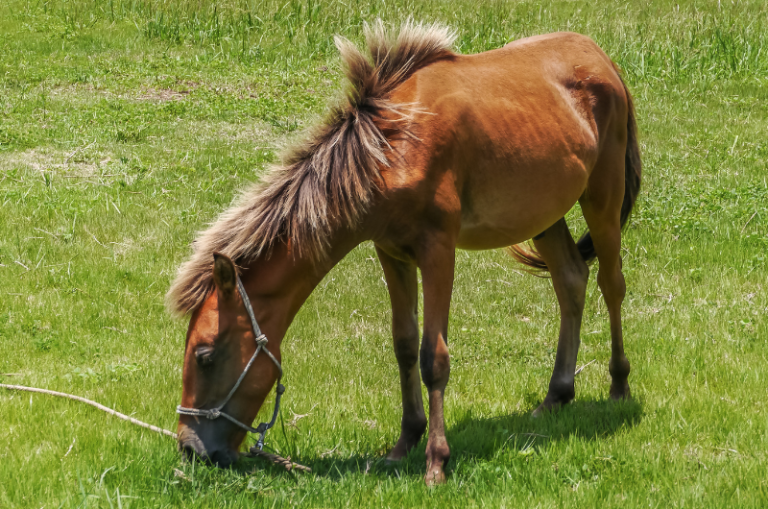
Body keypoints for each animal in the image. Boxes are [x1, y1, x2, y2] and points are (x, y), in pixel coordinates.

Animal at [168, 20, 641, 485]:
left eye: (205, 355)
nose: (191, 448)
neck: (389, 147)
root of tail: (603, 60)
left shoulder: (438, 250)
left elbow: (434, 357)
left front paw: (436, 461)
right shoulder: (391, 252)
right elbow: (405, 344)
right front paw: (404, 443)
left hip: (603, 197)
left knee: (611, 284)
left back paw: (619, 386)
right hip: (544, 213)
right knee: (571, 278)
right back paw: (556, 395)